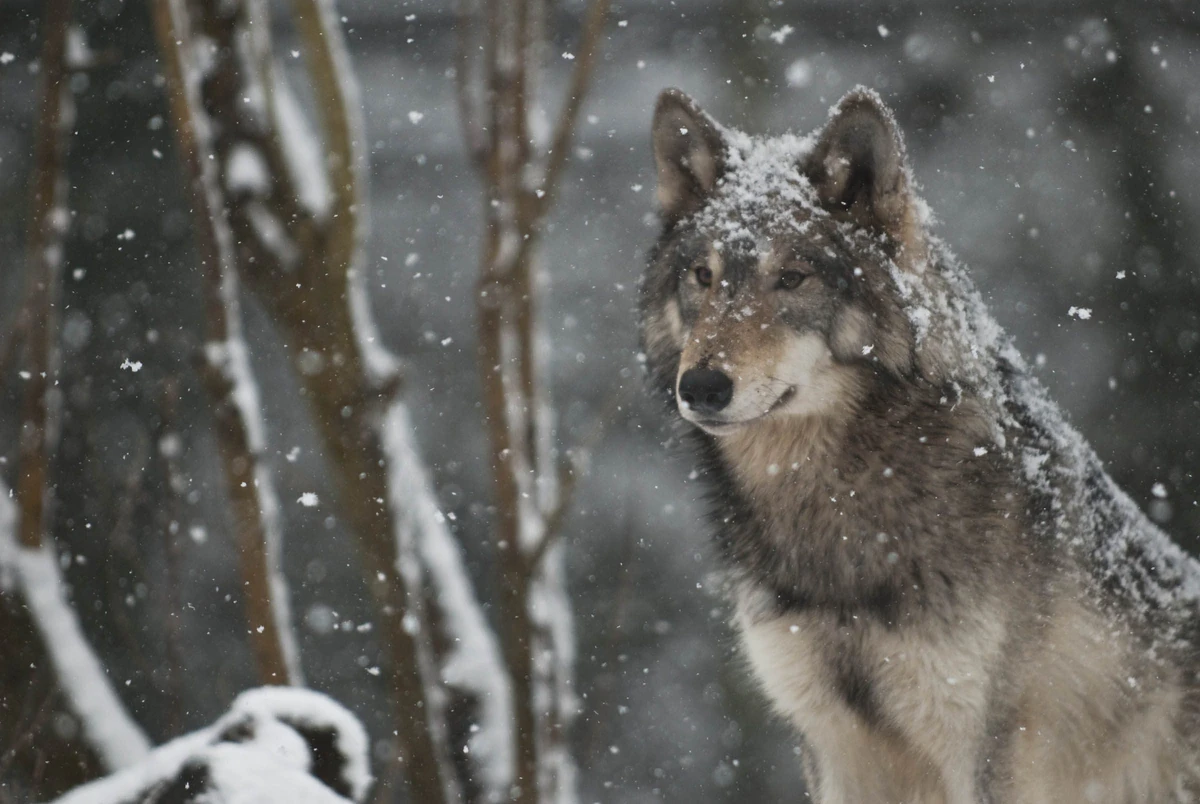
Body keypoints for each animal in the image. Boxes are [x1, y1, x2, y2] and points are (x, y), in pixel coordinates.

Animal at [639, 86, 1200, 803]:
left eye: (792, 278)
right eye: (702, 276)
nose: (702, 386)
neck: (839, 512)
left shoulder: (984, 748)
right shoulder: (832, 748)